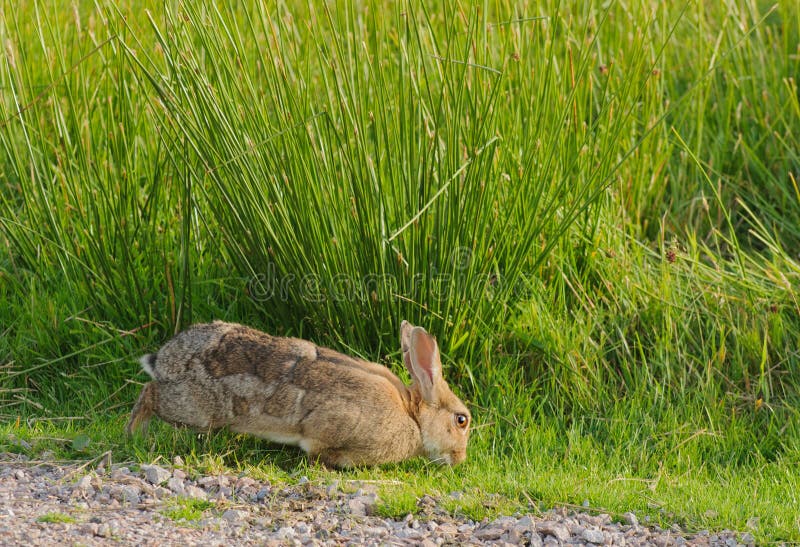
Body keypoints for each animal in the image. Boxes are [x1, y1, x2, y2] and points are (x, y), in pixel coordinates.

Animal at [126, 320, 471, 467]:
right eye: (461, 420)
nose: (460, 459)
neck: (413, 417)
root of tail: (168, 358)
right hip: (193, 407)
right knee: (150, 393)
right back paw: (135, 434)